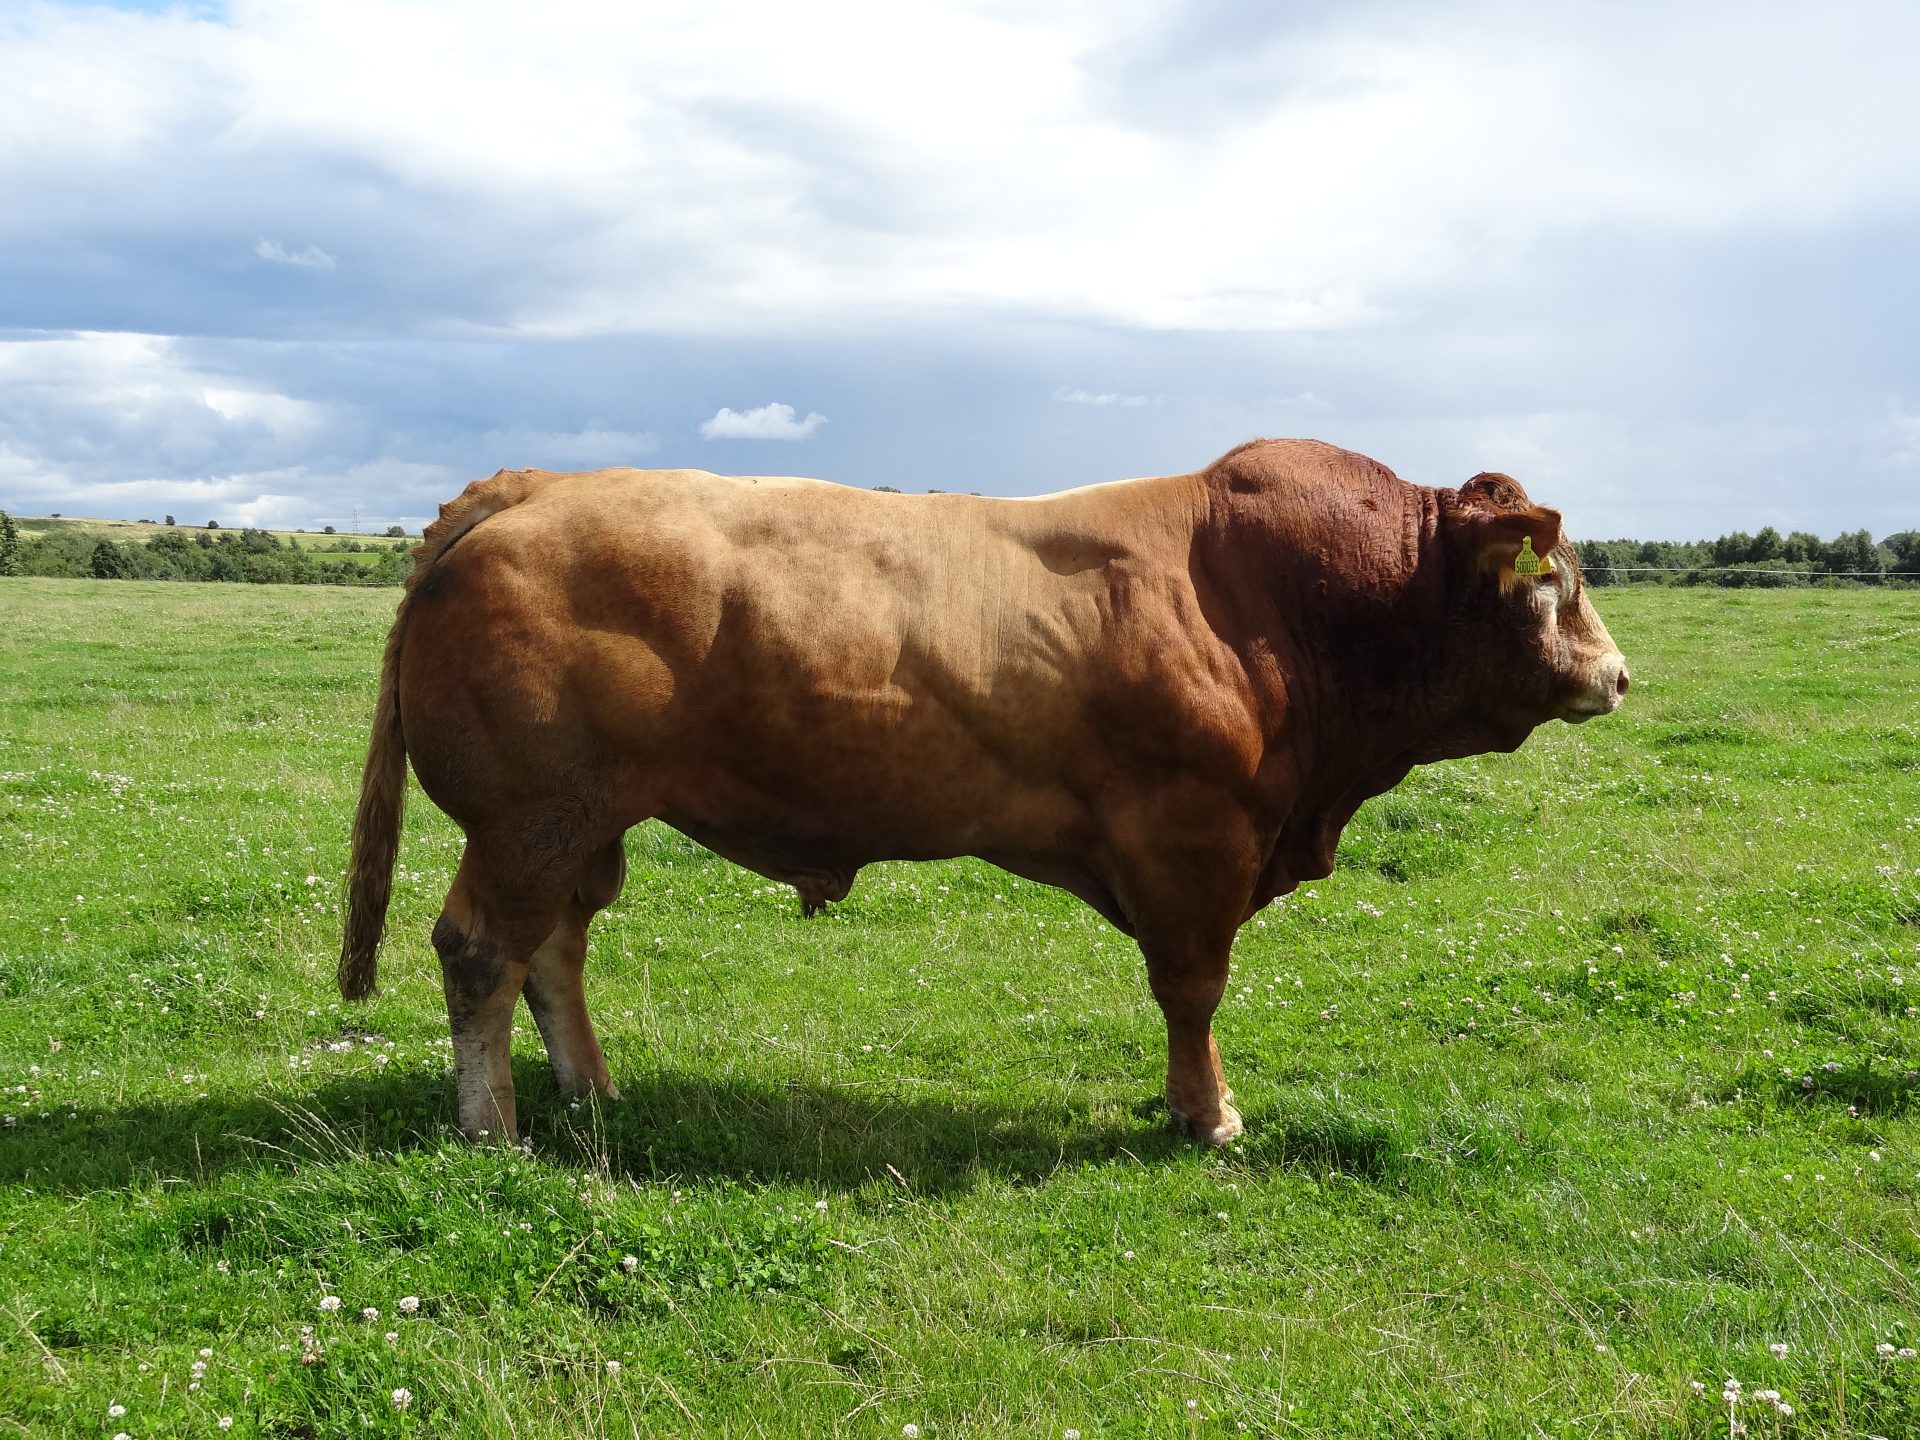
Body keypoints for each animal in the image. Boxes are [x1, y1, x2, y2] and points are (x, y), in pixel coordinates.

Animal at [339, 438, 1628, 1145]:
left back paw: (591, 1092)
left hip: (580, 825)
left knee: (553, 950)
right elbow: (1193, 992)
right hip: (528, 816)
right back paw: (495, 1129)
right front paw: (1205, 1114)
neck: (1271, 598)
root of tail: (537, 488)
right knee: (481, 951)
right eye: (1556, 579)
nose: (1617, 674)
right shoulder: (1195, 843)